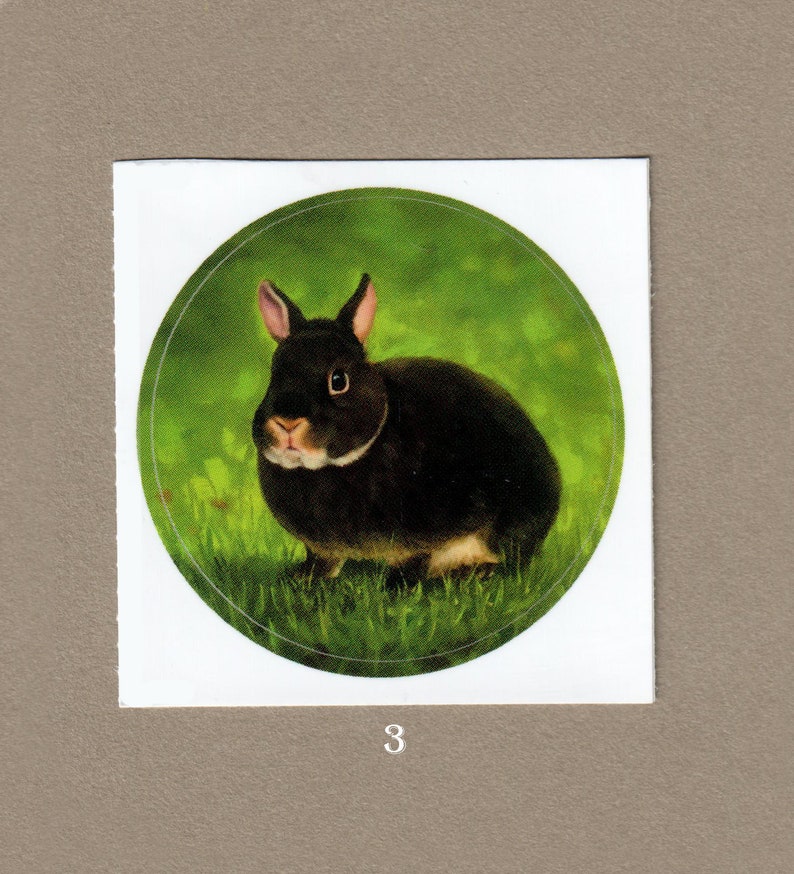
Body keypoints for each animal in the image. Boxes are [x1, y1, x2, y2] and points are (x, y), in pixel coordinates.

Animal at [251, 274, 561, 582]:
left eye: (338, 380)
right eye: (274, 375)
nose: (287, 423)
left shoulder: (421, 533)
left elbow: (415, 559)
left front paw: (396, 586)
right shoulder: (323, 547)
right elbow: (323, 561)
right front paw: (302, 579)